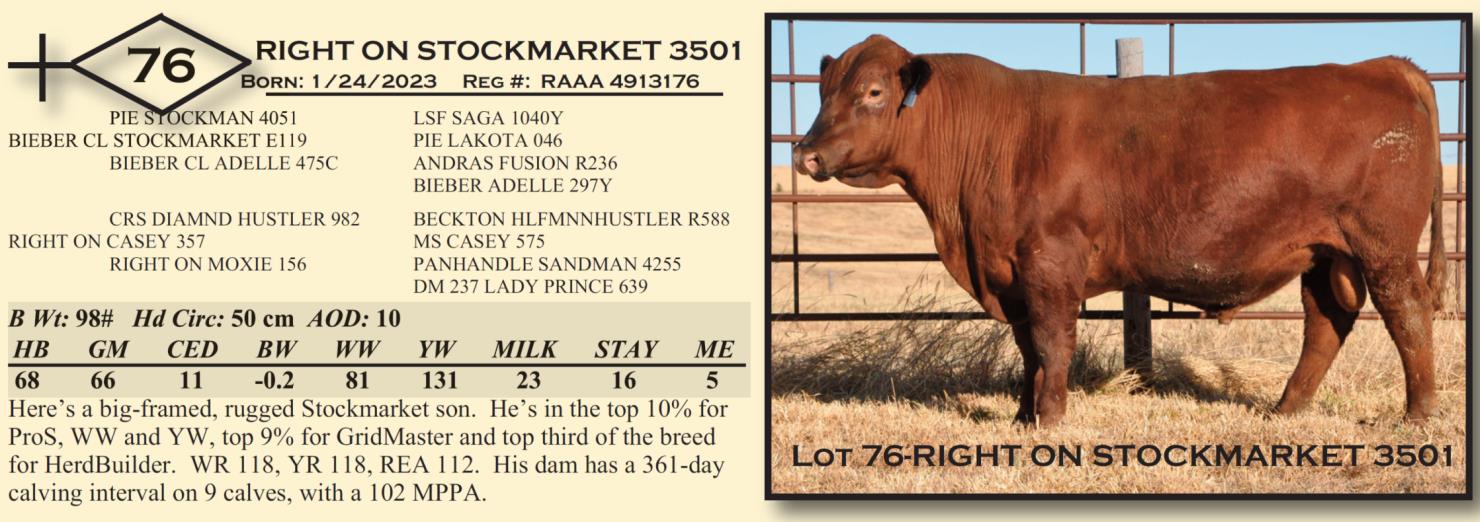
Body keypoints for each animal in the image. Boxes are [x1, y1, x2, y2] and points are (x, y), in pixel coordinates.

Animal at [792, 35, 1447, 427]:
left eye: (874, 92)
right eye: (823, 92)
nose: (806, 154)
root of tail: (1384, 67)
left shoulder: (1050, 262)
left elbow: (1052, 343)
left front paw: (1049, 420)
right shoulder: (1012, 275)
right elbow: (1028, 347)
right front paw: (1022, 418)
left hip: (1382, 244)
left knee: (1407, 312)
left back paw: (1416, 416)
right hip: (1325, 252)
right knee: (1327, 322)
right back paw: (1285, 410)